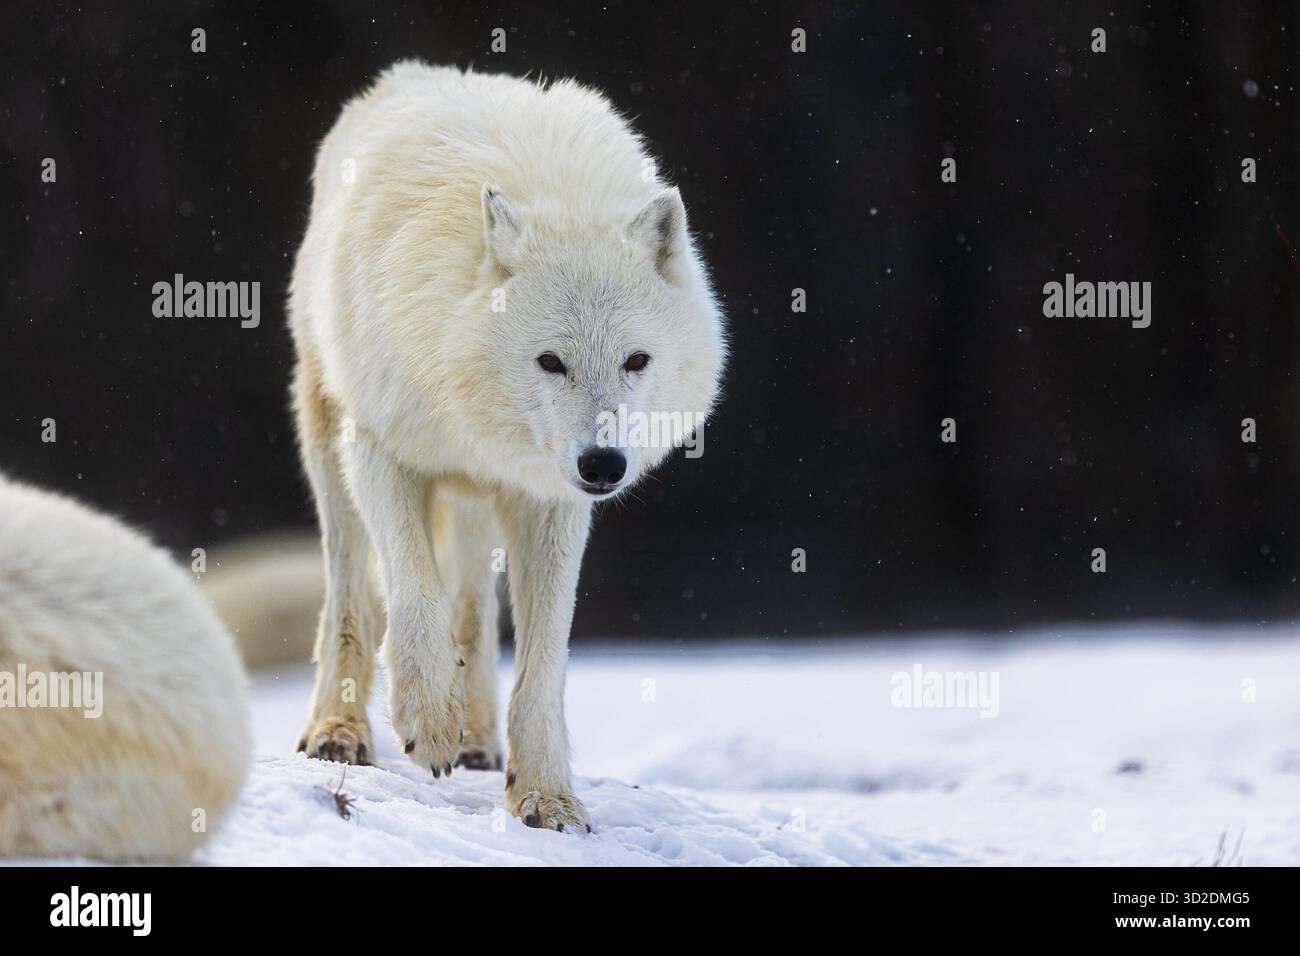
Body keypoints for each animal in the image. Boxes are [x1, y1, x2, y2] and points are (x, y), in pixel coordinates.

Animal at [289, 62, 726, 830]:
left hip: (474, 508)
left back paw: (478, 742)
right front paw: (427, 717)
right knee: (352, 596)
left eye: (635, 361)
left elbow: (543, 660)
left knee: (472, 609)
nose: (603, 465)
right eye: (550, 361)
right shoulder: (380, 446)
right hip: (328, 443)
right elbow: (413, 593)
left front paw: (546, 796)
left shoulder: (548, 501)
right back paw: (340, 733)